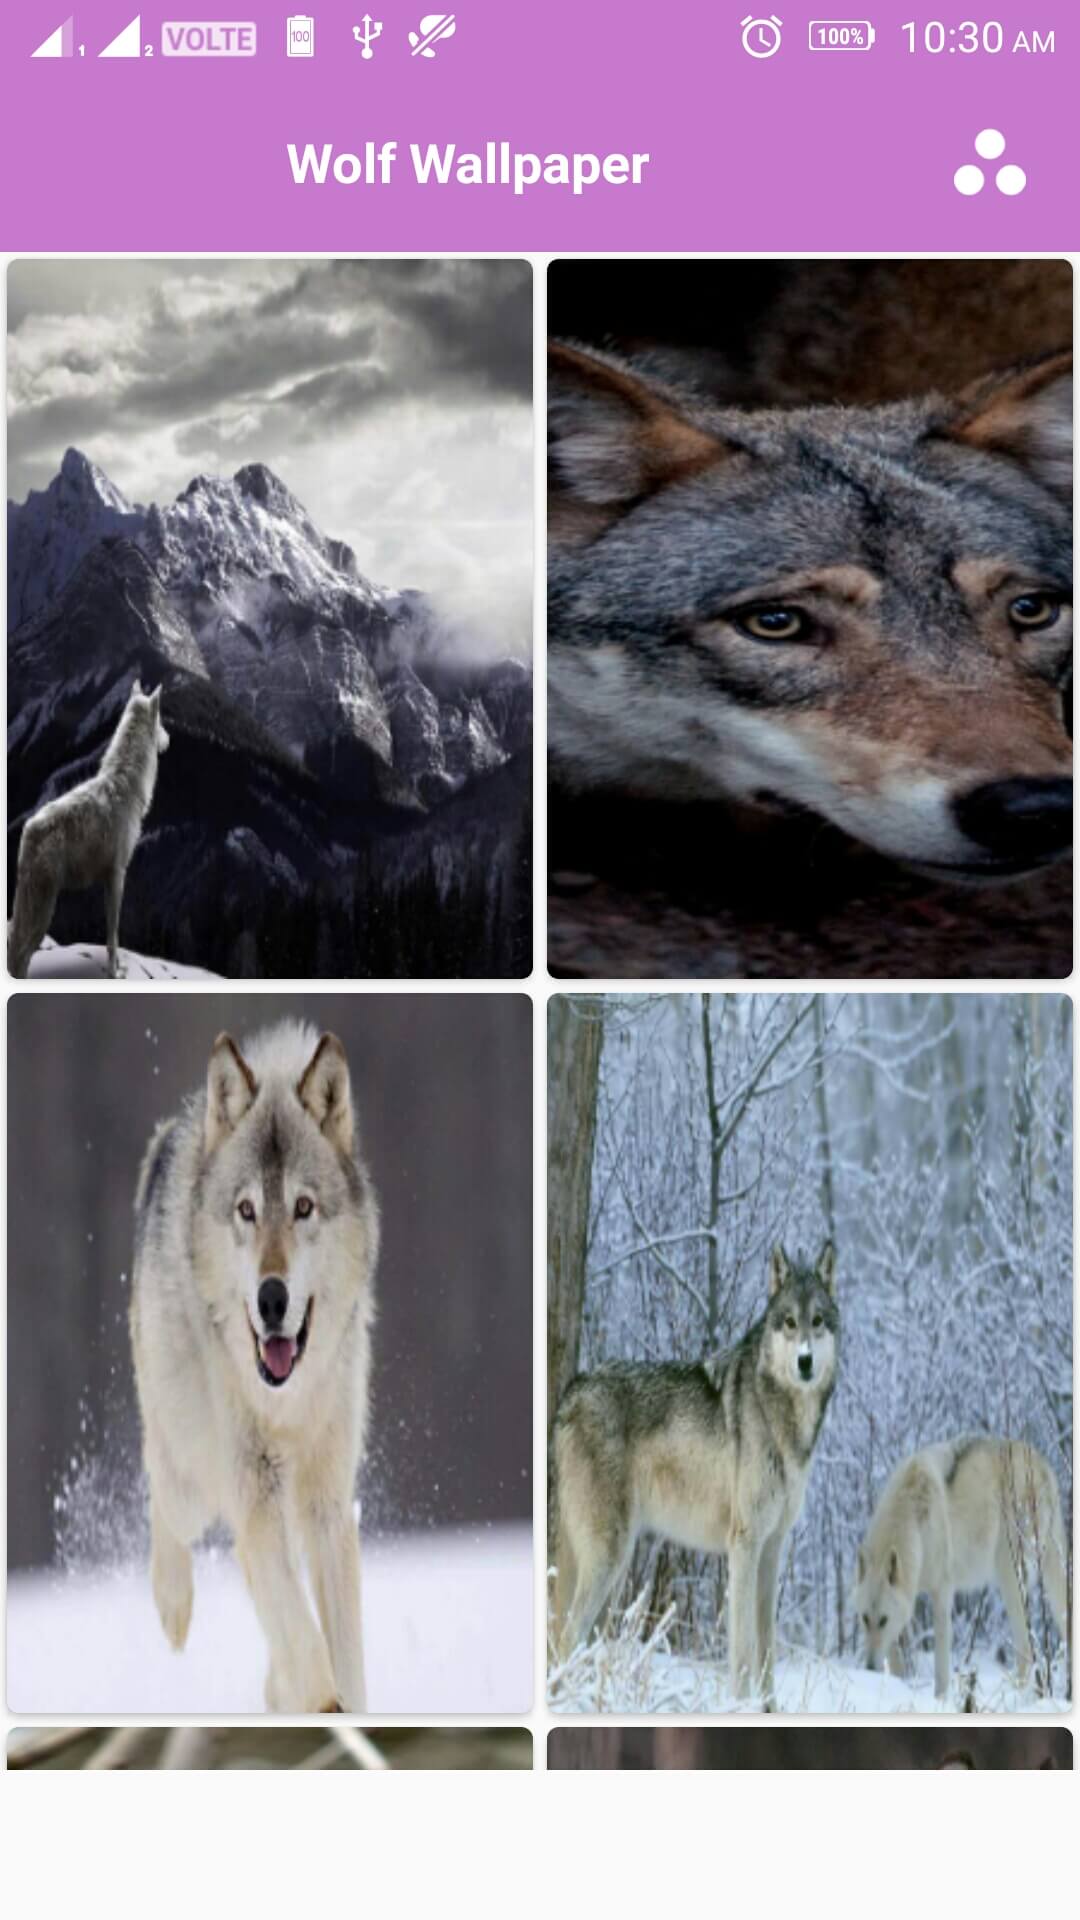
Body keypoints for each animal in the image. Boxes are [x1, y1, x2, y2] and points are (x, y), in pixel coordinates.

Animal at [8, 679, 169, 979]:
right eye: (162, 721)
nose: (169, 738)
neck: (125, 785)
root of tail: (29, 830)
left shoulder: (106, 879)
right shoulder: (117, 874)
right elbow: (113, 935)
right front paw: (115, 973)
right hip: (44, 908)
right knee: (20, 954)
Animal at [130, 1022, 380, 1712]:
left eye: (303, 1208)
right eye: (246, 1210)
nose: (272, 1299)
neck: (285, 1403)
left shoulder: (326, 1505)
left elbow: (340, 1651)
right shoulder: (257, 1495)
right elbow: (307, 1644)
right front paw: (322, 1706)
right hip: (194, 1473)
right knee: (162, 1488)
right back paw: (173, 1606)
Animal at [550, 1242, 839, 1701]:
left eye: (818, 1321)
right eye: (789, 1322)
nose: (805, 1362)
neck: (780, 1414)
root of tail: (570, 1393)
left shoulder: (772, 1548)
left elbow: (767, 1650)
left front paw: (768, 1708)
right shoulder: (744, 1544)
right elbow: (743, 1651)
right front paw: (740, 1706)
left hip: (612, 1567)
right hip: (607, 1558)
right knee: (565, 1639)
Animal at [854, 1435, 1068, 1699]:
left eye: (883, 1620)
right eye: (865, 1618)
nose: (869, 1667)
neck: (914, 1521)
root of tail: (1042, 1464)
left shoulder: (942, 1593)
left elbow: (941, 1664)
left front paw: (940, 1700)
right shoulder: (906, 1600)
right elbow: (896, 1658)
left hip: (1009, 1577)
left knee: (1026, 1648)